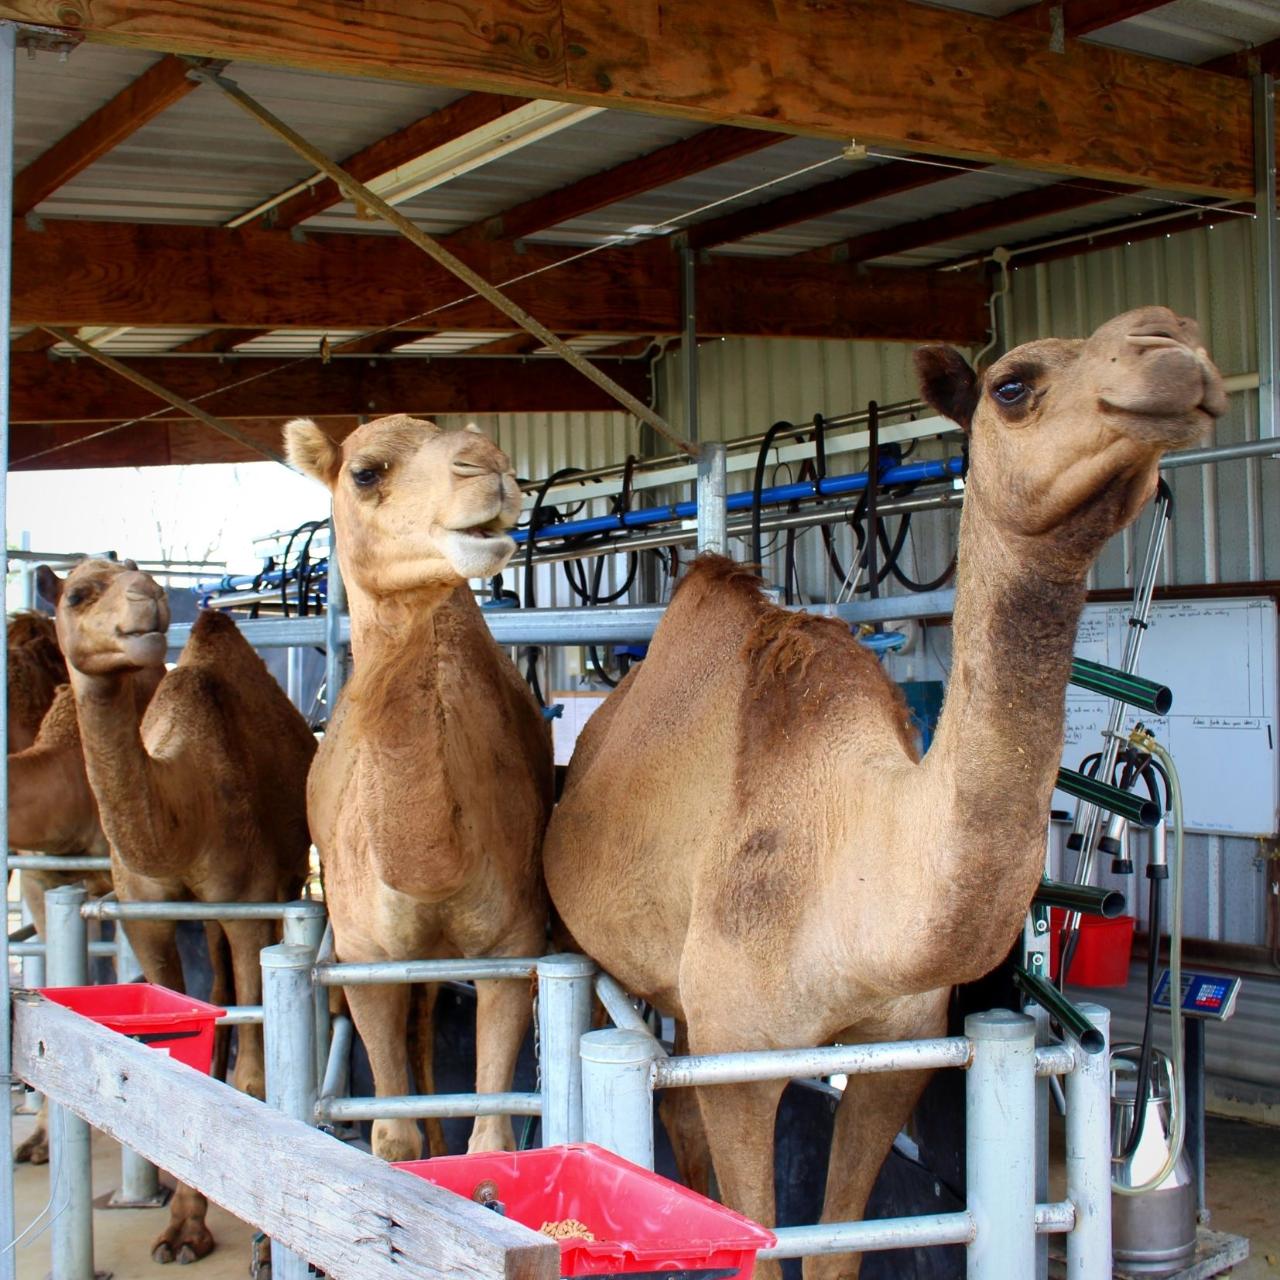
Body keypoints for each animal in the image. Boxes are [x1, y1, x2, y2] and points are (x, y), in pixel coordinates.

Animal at [40, 559, 315, 1265]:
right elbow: (165, 1060)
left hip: (281, 880)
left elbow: (254, 1074)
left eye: (138, 576)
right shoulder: (146, 916)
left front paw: (265, 1243)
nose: (152, 600)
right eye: (78, 594)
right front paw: (181, 1229)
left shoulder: (248, 904)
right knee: (215, 993)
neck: (183, 814)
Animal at [285, 414, 552, 1159]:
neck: (431, 866)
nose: (489, 467)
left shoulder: (514, 946)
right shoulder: (363, 954)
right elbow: (391, 1136)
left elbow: (492, 1137)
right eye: (365, 472)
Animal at [543, 307, 1225, 1278]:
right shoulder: (739, 1053)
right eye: (1013, 384)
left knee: (674, 1112)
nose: (1173, 347)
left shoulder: (896, 1057)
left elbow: (837, 1247)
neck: (855, 861)